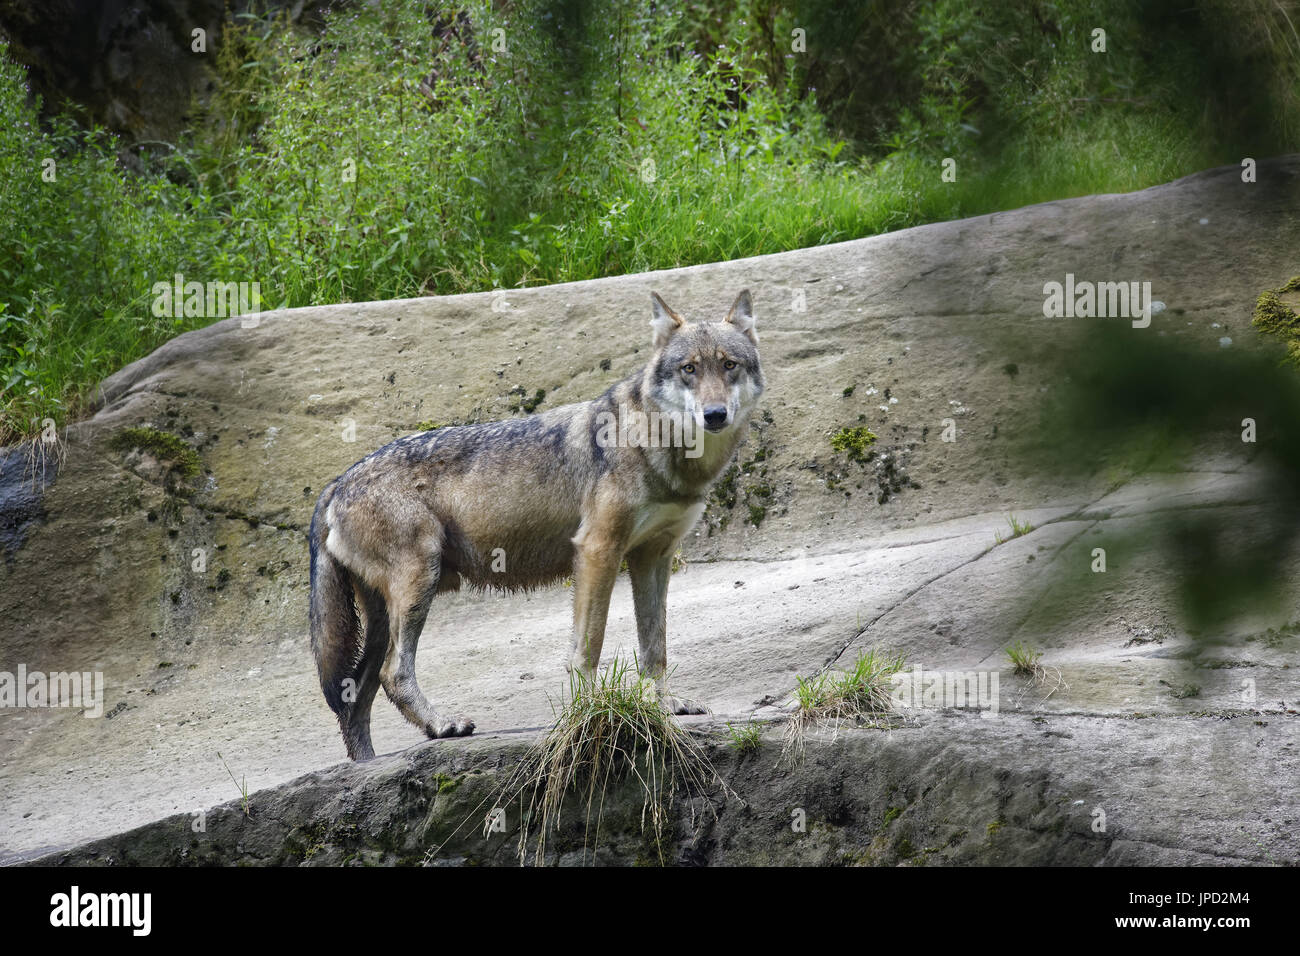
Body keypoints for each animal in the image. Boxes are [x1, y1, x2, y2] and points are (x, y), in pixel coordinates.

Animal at [308, 290, 763, 760]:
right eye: (689, 369)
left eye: (729, 365)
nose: (715, 414)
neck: (659, 446)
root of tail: (338, 481)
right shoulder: (597, 550)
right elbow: (589, 646)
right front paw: (590, 709)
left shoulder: (652, 558)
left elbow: (655, 647)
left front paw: (666, 706)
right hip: (419, 584)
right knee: (392, 673)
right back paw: (442, 726)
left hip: (385, 615)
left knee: (355, 693)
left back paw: (367, 765)